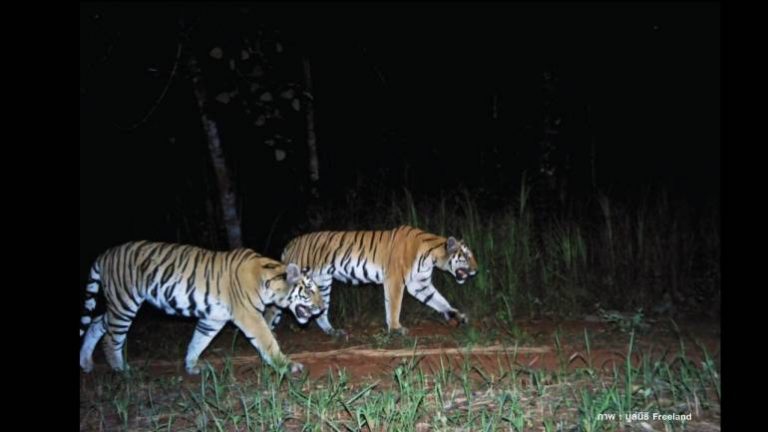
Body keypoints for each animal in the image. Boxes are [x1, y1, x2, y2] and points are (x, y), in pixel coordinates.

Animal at [79, 241, 324, 375]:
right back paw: (121, 370)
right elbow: (267, 341)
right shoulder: (249, 316)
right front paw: (288, 366)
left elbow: (198, 341)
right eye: (309, 289)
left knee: (97, 322)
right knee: (111, 337)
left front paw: (191, 367)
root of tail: (105, 254)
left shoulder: (213, 318)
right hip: (125, 301)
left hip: (118, 303)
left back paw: (86, 363)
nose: (322, 308)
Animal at [279, 225, 478, 336]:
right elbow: (394, 305)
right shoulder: (395, 279)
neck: (432, 256)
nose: (477, 270)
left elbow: (438, 300)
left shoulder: (419, 284)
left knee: (321, 313)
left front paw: (456, 315)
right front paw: (396, 328)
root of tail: (289, 244)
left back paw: (332, 332)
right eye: (467, 256)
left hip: (322, 283)